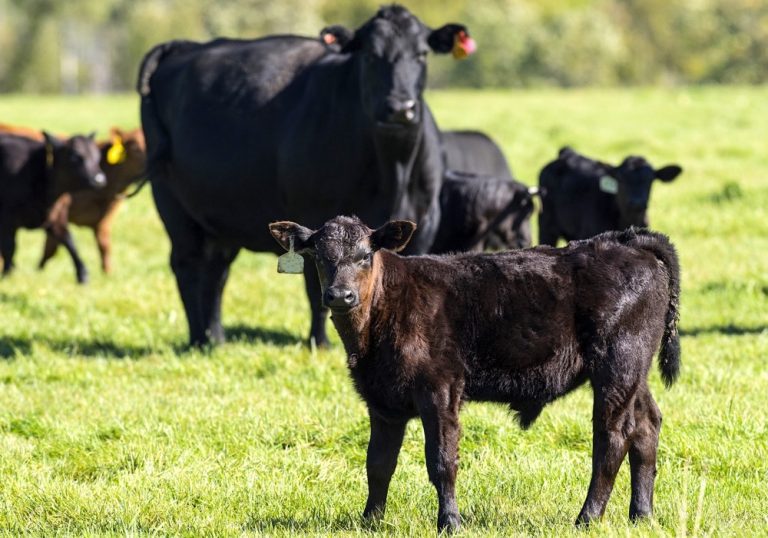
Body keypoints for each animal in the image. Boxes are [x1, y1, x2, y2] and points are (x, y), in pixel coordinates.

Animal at [0, 133, 106, 282]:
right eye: (75, 156)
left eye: (97, 156)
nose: (99, 180)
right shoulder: (7, 219)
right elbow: (9, 247)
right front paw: (7, 274)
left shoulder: (56, 215)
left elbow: (68, 240)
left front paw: (83, 274)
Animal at [138, 5, 476, 346]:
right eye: (370, 54)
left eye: (422, 54)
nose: (399, 108)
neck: (394, 171)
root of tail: (186, 46)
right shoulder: (314, 218)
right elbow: (317, 289)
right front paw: (320, 343)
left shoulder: (424, 222)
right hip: (172, 203)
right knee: (188, 266)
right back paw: (198, 338)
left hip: (219, 218)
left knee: (215, 271)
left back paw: (216, 338)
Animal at [270, 215, 681, 533]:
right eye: (319, 257)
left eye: (365, 255)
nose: (340, 296)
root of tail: (627, 240)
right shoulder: (381, 400)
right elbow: (378, 463)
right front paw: (370, 521)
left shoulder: (440, 388)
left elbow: (442, 461)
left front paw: (449, 522)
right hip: (634, 373)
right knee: (647, 425)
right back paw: (641, 515)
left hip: (617, 364)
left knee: (612, 437)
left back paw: (587, 518)